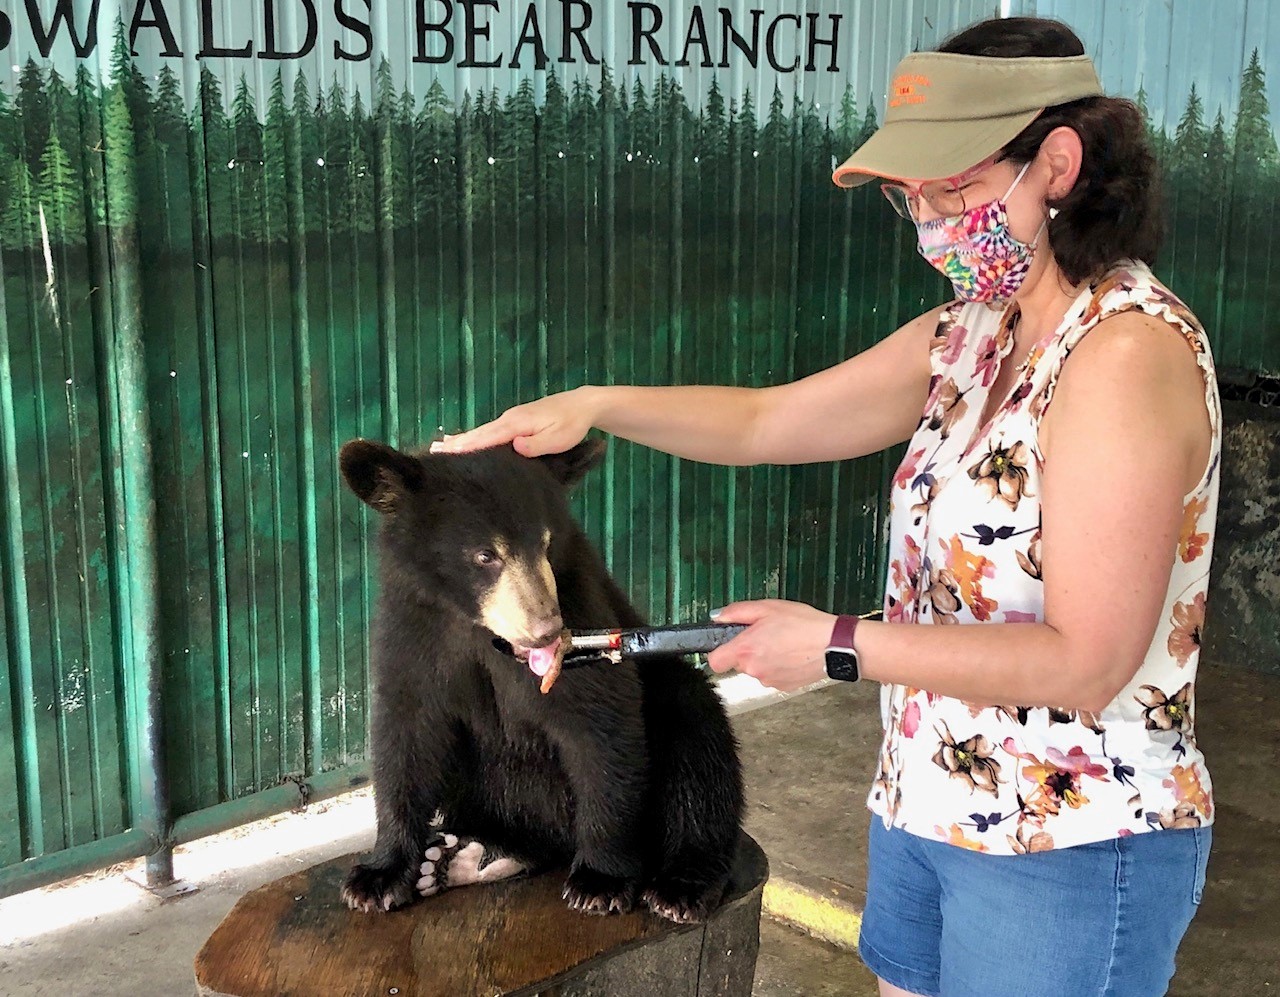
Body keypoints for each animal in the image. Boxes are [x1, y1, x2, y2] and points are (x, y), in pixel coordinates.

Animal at [337, 436, 745, 924]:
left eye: (547, 546)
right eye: (485, 555)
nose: (547, 629)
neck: (482, 633)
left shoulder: (584, 611)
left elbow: (601, 727)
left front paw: (600, 881)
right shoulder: (414, 631)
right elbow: (407, 736)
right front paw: (378, 876)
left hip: (673, 700)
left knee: (697, 742)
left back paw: (681, 885)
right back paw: (471, 856)